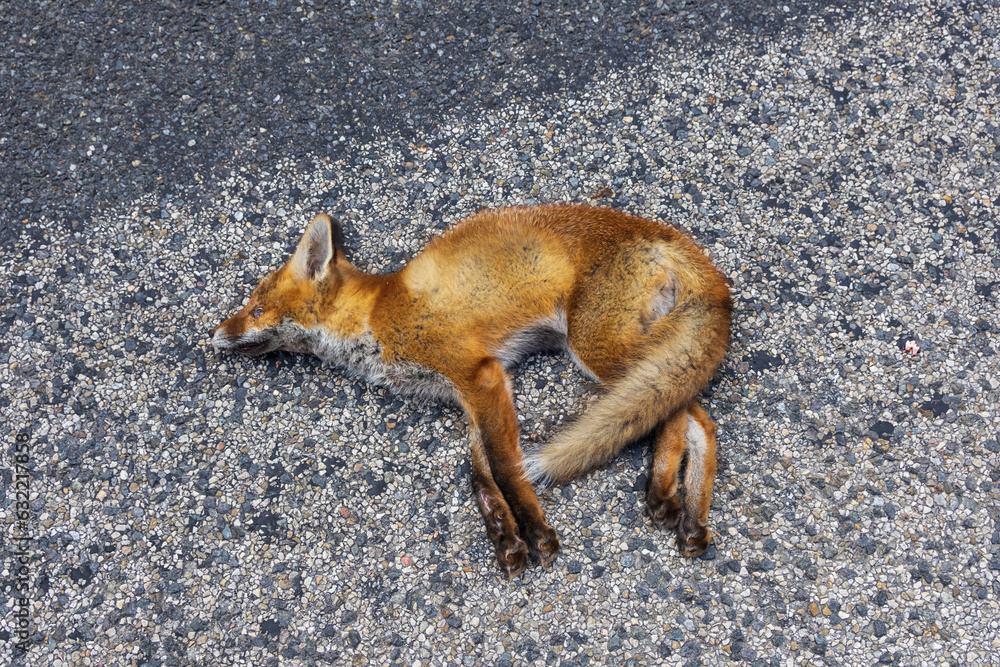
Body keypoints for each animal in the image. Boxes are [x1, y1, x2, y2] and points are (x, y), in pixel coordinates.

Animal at [211, 204, 732, 578]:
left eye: (256, 310)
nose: (213, 333)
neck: (375, 317)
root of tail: (669, 236)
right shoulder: (468, 395)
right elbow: (480, 474)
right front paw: (505, 536)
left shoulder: (480, 375)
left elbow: (505, 466)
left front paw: (536, 530)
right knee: (685, 412)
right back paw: (685, 514)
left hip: (597, 348)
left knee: (688, 410)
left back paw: (669, 497)